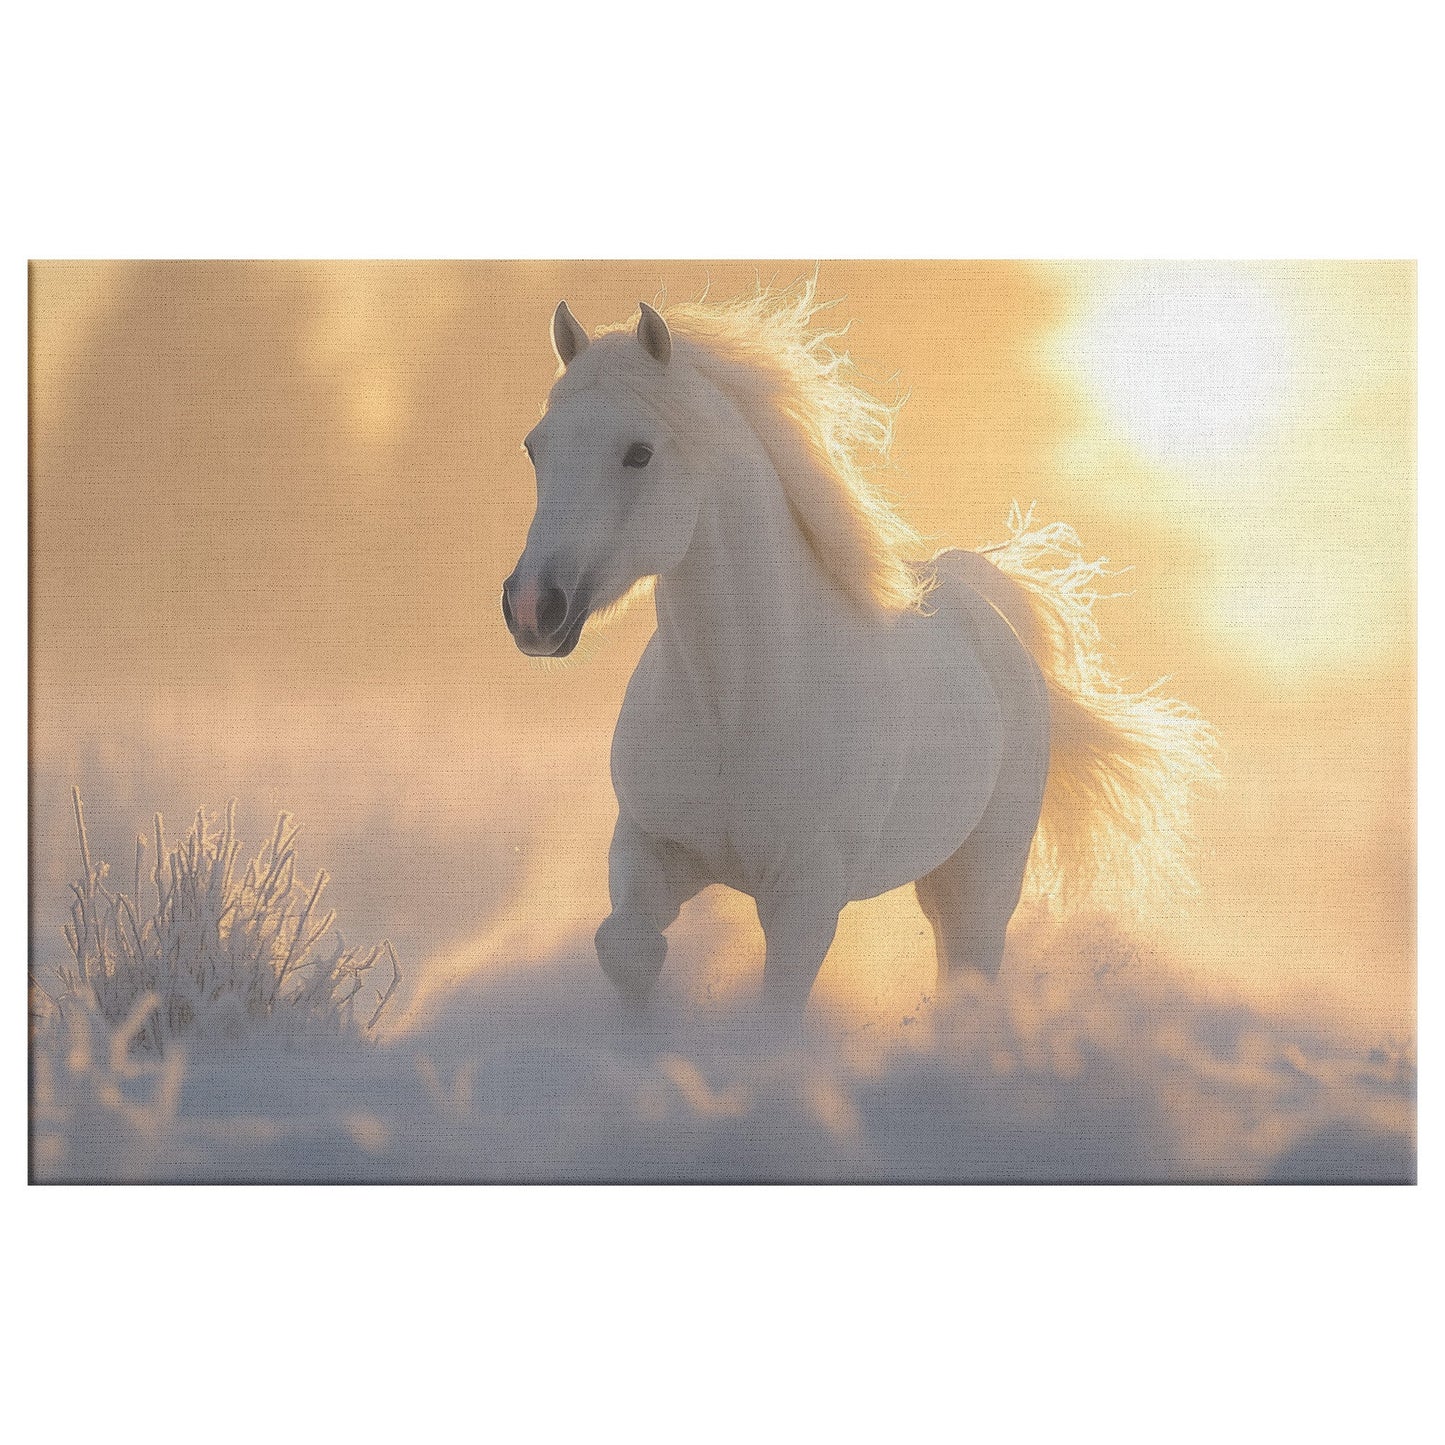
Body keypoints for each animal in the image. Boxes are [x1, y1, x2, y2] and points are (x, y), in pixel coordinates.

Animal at [502, 283, 1217, 1016]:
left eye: (638, 452)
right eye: (535, 448)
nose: (532, 608)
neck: (734, 708)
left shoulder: (806, 903)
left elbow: (775, 1016)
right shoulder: (646, 851)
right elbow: (626, 950)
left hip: (980, 882)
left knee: (968, 969)